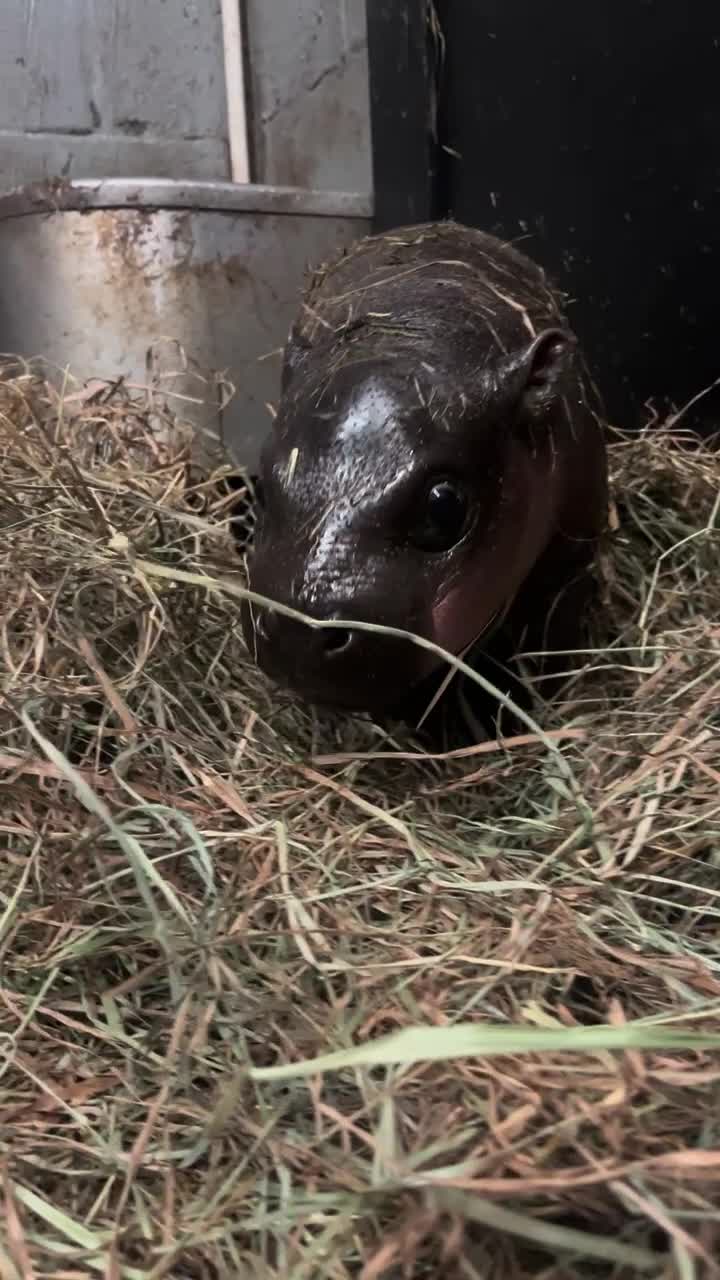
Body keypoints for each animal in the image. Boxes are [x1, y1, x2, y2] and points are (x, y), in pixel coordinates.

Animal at [237, 221, 608, 743]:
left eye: (444, 506)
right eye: (264, 493)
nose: (297, 629)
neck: (415, 334)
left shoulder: (572, 551)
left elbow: (551, 639)